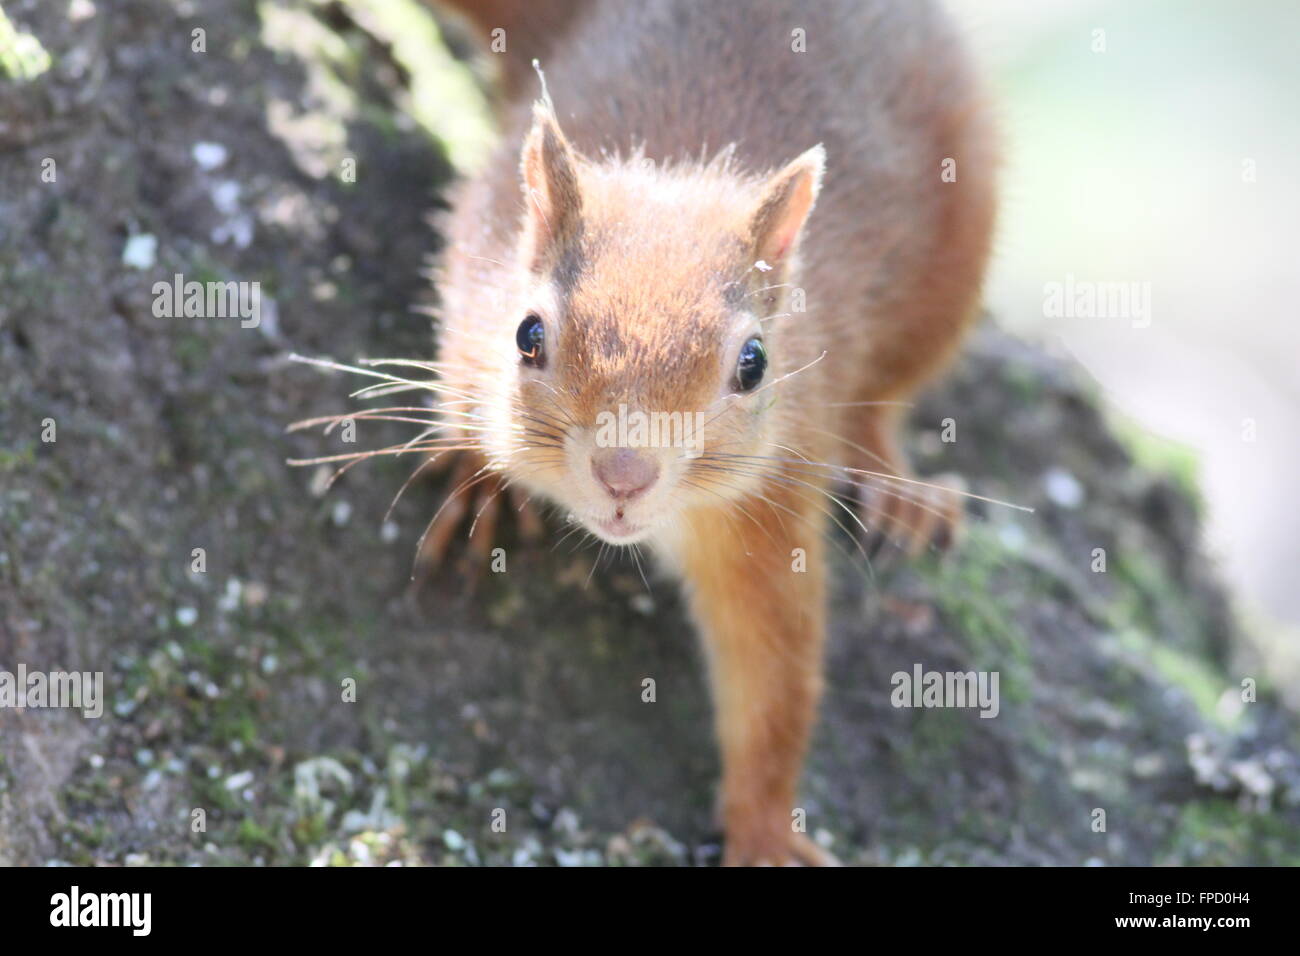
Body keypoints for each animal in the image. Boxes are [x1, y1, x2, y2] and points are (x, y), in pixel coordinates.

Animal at [422, 0, 997, 865]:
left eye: (754, 364)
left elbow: (773, 674)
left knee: (887, 395)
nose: (624, 475)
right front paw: (476, 476)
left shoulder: (769, 507)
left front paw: (764, 830)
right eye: (528, 334)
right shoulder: (480, 250)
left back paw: (899, 489)